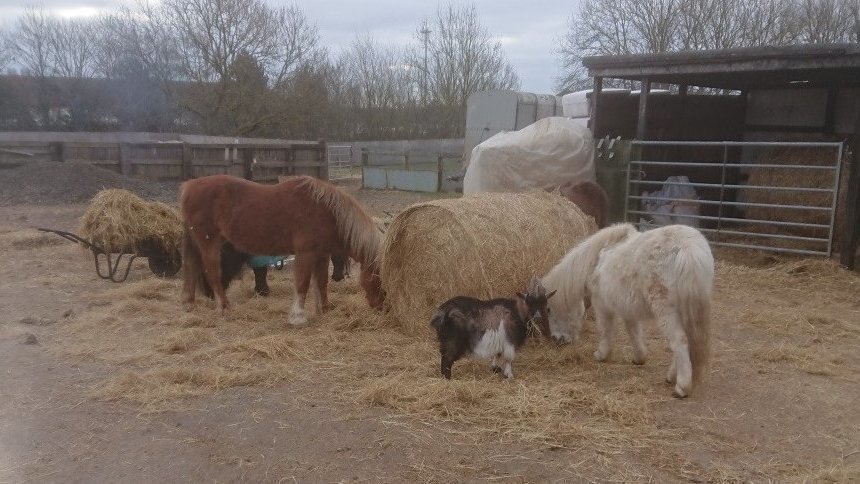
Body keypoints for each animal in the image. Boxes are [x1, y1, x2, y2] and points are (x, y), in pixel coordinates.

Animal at [180, 174, 384, 325]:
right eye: (378, 278)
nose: (381, 308)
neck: (325, 210)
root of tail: (189, 186)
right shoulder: (305, 253)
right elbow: (302, 283)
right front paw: (298, 317)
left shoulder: (322, 255)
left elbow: (322, 283)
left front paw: (324, 309)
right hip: (210, 242)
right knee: (212, 272)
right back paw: (224, 307)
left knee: (191, 267)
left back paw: (189, 302)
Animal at [540, 223, 714, 398]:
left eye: (549, 310)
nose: (557, 339)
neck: (596, 261)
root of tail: (688, 248)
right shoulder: (627, 308)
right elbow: (634, 332)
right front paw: (639, 357)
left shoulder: (601, 305)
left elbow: (605, 330)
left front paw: (601, 355)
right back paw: (672, 376)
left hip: (667, 311)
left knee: (680, 341)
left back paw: (682, 387)